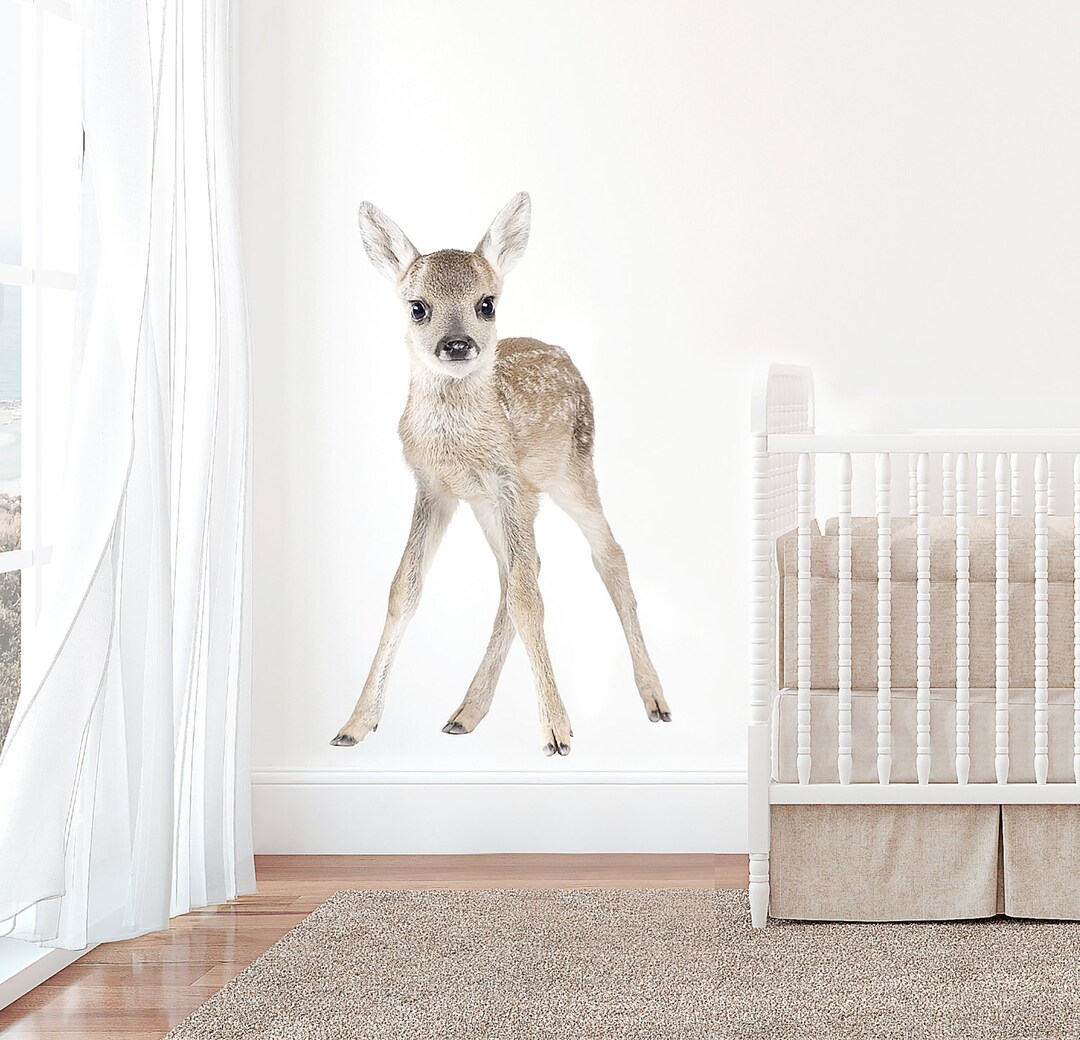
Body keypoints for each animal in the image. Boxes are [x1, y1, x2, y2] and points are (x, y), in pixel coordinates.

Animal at [330, 193, 669, 757]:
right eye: (417, 306)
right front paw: (355, 723)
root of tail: (565, 354)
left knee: (608, 557)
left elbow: (529, 600)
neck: (459, 444)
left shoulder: (509, 482)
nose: (457, 344)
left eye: (486, 303)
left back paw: (655, 700)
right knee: (519, 573)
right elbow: (404, 590)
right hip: (498, 505)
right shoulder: (435, 489)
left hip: (572, 471)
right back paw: (466, 713)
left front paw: (556, 731)